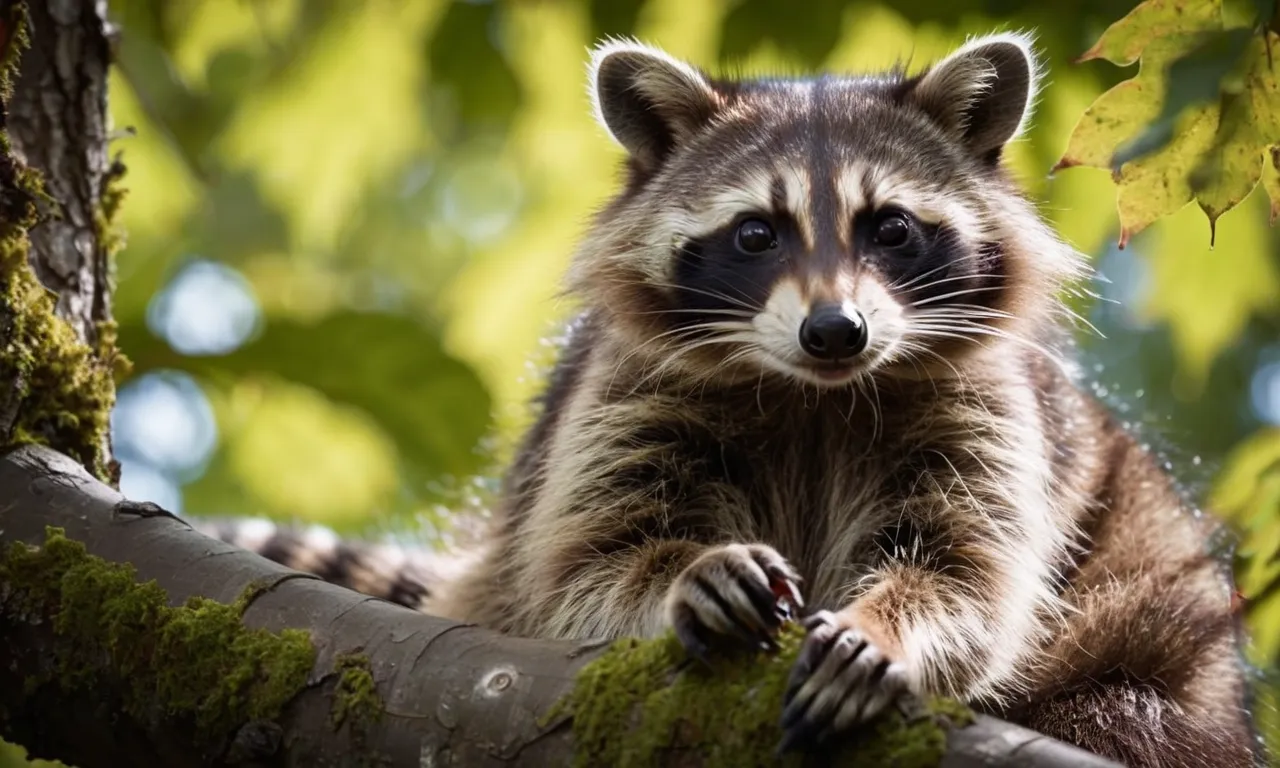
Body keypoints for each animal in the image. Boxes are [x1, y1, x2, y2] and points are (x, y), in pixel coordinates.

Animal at [210, 33, 1261, 766]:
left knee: (1128, 707)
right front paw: (688, 574)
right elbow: (584, 563)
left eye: (891, 228)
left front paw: (884, 626)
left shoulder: (992, 408)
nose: (836, 332)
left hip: (1167, 648)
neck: (813, 393)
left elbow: (971, 571)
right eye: (758, 232)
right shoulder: (620, 392)